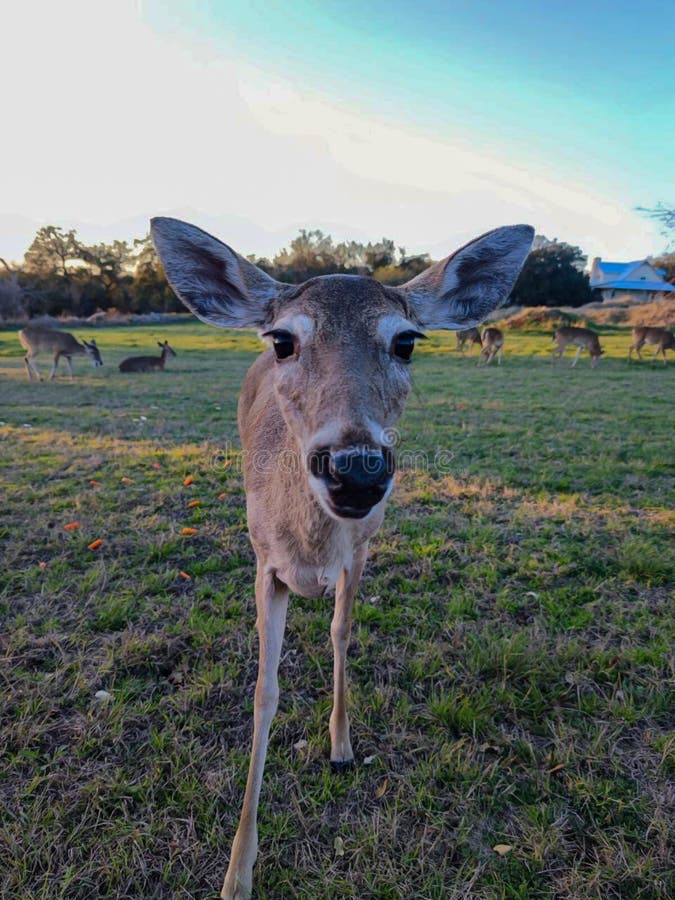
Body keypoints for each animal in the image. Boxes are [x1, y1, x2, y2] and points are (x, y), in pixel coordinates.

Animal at [151, 216, 534, 900]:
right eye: (284, 339)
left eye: (406, 342)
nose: (356, 469)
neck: (309, 549)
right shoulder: (264, 564)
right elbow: (264, 691)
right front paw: (237, 872)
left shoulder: (361, 550)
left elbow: (341, 632)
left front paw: (340, 744)